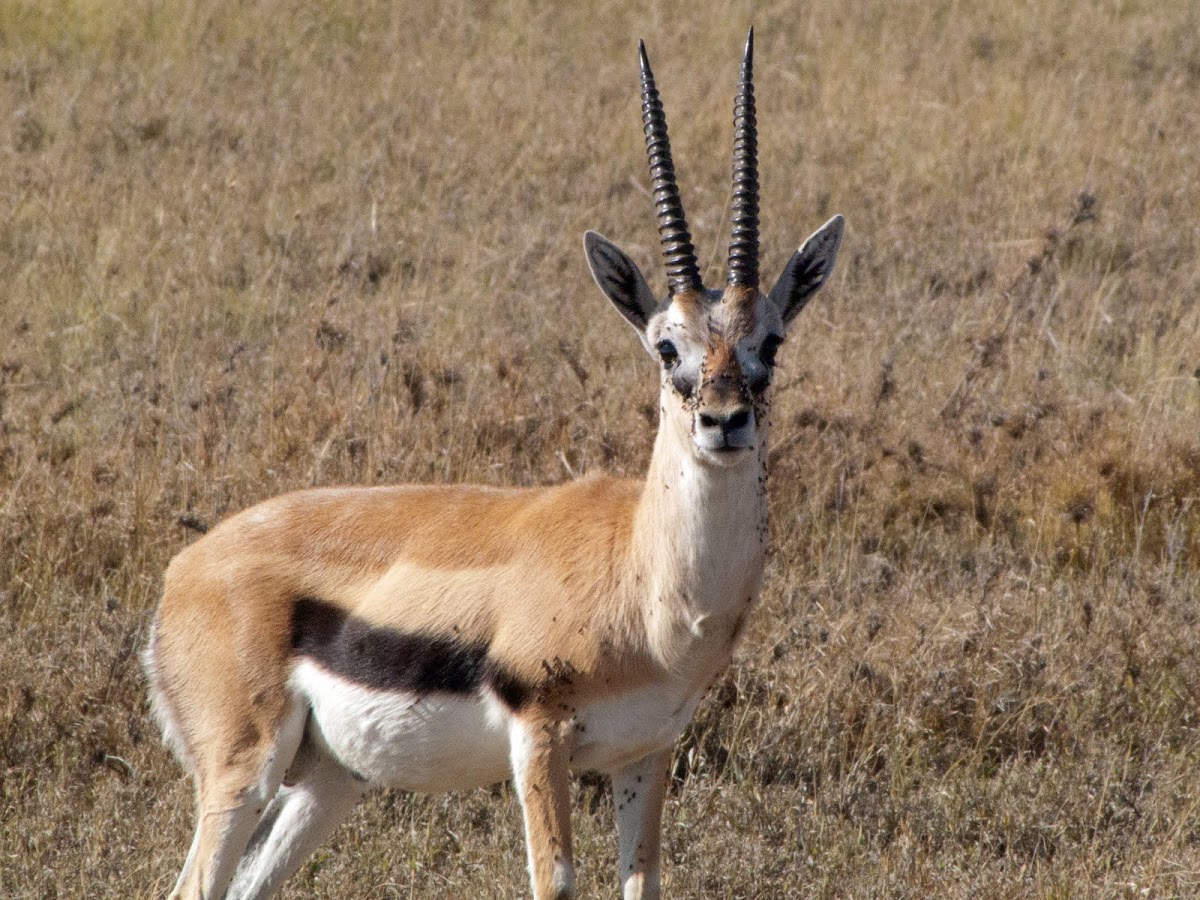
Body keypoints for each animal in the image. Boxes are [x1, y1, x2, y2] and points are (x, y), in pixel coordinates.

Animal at [143, 29, 844, 900]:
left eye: (770, 343)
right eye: (666, 346)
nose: (723, 421)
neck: (642, 575)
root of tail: (185, 570)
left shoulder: (646, 752)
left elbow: (643, 884)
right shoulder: (539, 738)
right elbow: (557, 882)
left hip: (330, 781)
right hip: (243, 771)